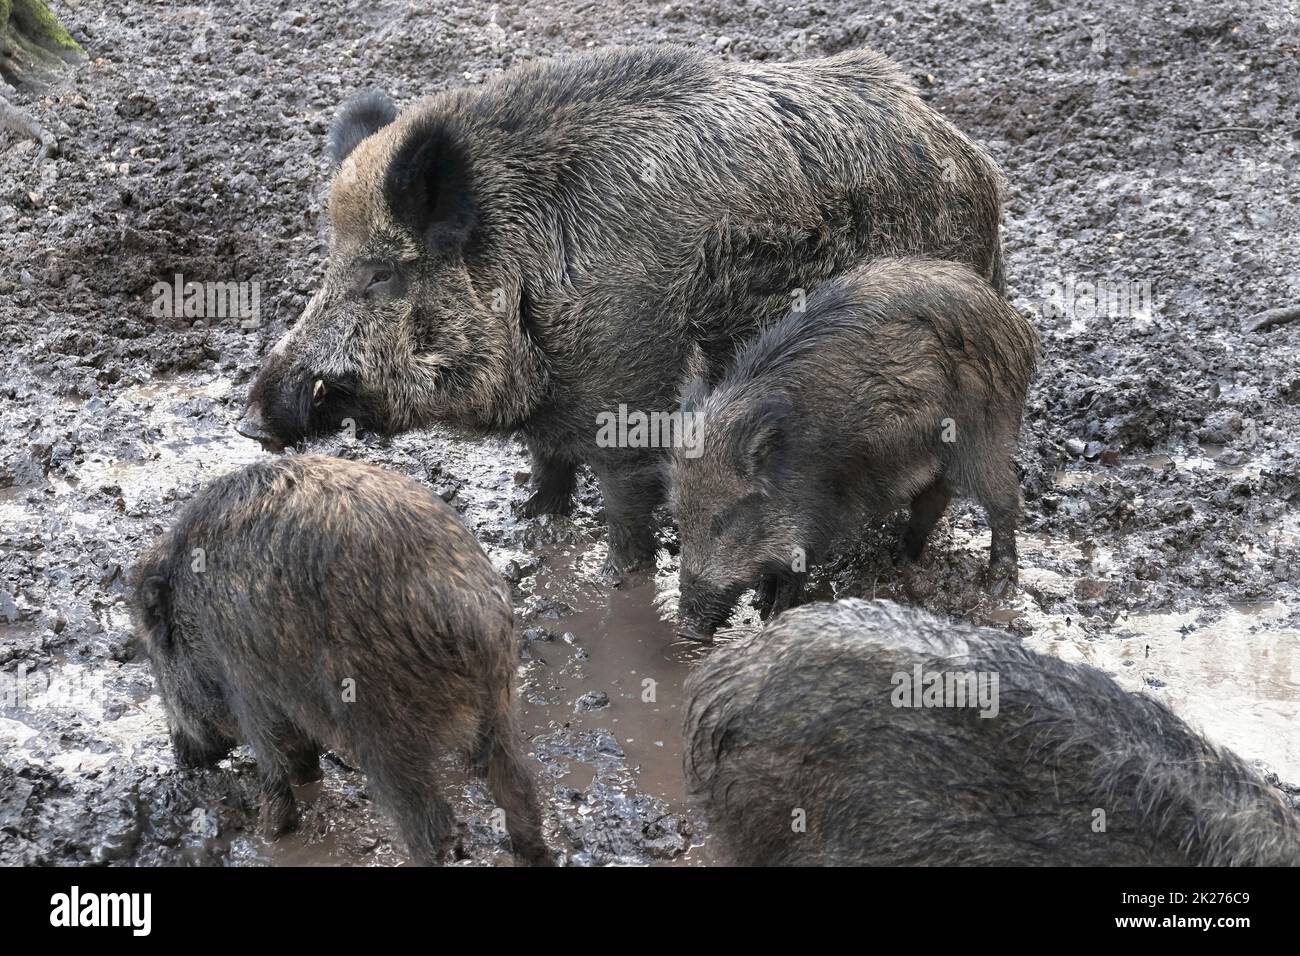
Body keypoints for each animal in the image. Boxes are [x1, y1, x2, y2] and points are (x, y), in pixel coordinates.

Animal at [131, 455, 550, 866]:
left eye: (155, 659)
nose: (182, 757)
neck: (194, 617)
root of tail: (467, 609)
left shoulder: (249, 688)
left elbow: (274, 766)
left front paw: (269, 837)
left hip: (379, 714)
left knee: (429, 822)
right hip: (500, 699)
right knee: (519, 789)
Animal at [235, 45, 1008, 573]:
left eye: (381, 275)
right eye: (329, 262)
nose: (252, 421)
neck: (528, 278)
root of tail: (972, 158)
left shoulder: (631, 397)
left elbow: (626, 508)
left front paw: (620, 576)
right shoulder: (552, 411)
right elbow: (547, 465)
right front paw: (530, 515)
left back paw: (905, 557)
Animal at [669, 257, 1039, 640]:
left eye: (723, 519)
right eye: (679, 517)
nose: (687, 631)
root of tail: (1014, 322)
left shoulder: (814, 515)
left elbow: (794, 571)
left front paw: (773, 619)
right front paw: (760, 602)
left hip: (984, 433)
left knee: (1005, 498)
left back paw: (998, 585)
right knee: (935, 498)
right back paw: (901, 557)